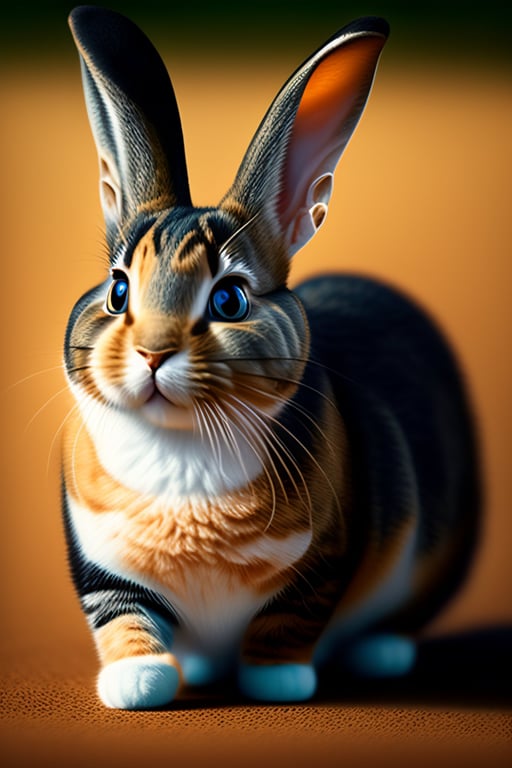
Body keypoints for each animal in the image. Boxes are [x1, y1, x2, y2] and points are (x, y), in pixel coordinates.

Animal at [62, 6, 480, 709]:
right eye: (118, 290)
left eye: (229, 298)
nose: (151, 352)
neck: (181, 451)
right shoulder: (99, 563)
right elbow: (121, 614)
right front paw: (138, 683)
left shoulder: (325, 559)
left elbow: (287, 618)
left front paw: (277, 681)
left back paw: (381, 653)